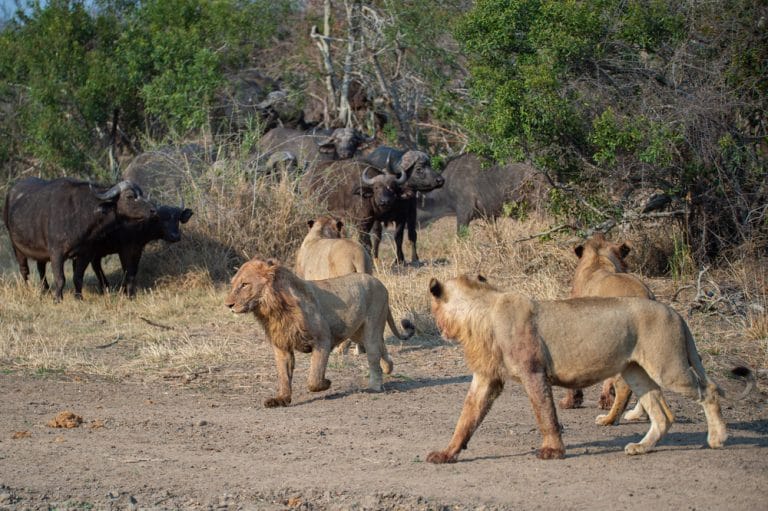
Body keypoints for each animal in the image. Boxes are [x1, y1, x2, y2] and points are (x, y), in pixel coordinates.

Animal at [225, 257, 414, 407]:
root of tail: (379, 283)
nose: (228, 305)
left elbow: (314, 378)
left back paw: (375, 386)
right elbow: (284, 377)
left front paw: (326, 383)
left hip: (371, 328)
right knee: (382, 348)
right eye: (233, 285)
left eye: (244, 284)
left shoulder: (323, 339)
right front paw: (281, 400)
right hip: (357, 332)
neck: (273, 310)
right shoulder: (282, 346)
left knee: (374, 356)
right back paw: (388, 367)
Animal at [426, 274, 750, 461]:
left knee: (709, 391)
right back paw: (641, 447)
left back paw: (717, 439)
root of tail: (675, 312)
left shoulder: (533, 372)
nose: (438, 328)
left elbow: (545, 413)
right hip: (637, 372)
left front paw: (553, 451)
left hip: (668, 367)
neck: (480, 311)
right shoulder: (486, 378)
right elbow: (466, 418)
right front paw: (447, 453)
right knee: (663, 415)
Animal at [560, 233, 658, 427]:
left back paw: (609, 419)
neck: (599, 261)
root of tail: (646, 297)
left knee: (625, 387)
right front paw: (604, 399)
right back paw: (635, 414)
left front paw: (571, 401)